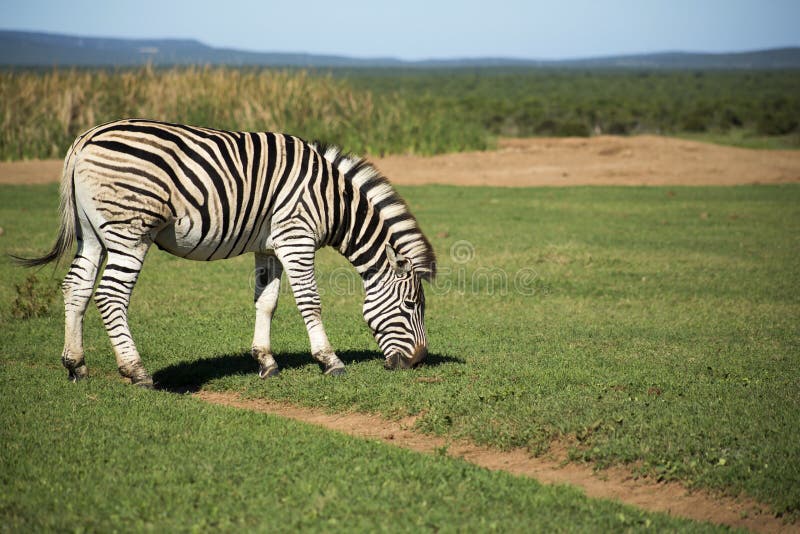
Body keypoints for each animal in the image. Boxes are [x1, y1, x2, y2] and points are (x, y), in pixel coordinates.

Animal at [14, 119, 436, 387]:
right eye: (412, 305)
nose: (417, 362)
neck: (332, 202)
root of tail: (85, 138)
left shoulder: (270, 247)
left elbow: (267, 302)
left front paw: (266, 362)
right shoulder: (296, 237)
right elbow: (310, 302)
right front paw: (330, 361)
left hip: (91, 234)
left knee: (76, 288)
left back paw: (76, 365)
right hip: (130, 231)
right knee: (110, 296)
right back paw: (136, 371)